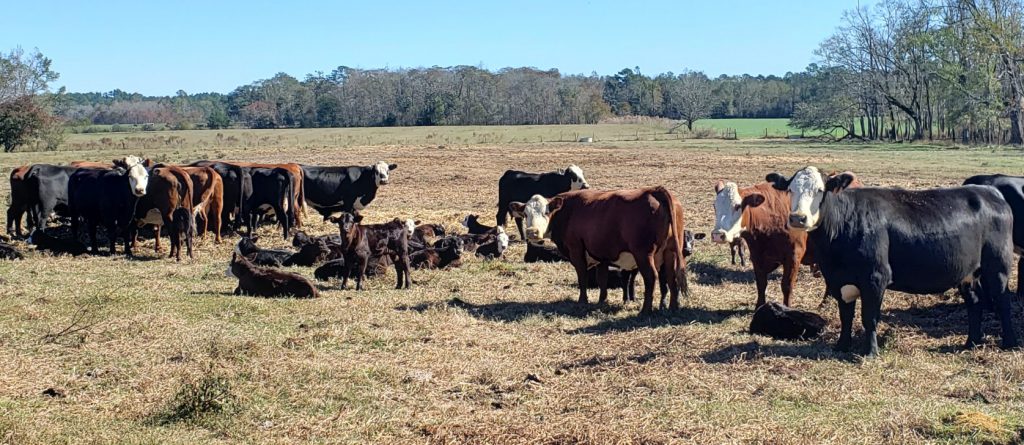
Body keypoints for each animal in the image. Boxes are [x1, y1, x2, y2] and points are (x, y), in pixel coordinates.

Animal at [510, 187, 687, 313]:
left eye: (546, 212)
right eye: (525, 213)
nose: (532, 232)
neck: (567, 211)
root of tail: (654, 190)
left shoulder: (576, 250)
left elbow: (582, 277)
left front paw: (582, 301)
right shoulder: (601, 254)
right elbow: (602, 279)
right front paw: (602, 300)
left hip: (643, 254)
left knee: (651, 277)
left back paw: (645, 311)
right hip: (670, 252)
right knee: (671, 277)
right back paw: (673, 307)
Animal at [767, 166, 1018, 355]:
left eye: (820, 190)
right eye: (790, 190)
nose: (798, 218)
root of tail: (990, 191)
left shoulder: (875, 277)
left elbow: (869, 317)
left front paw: (870, 352)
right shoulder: (839, 280)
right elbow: (846, 315)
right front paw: (842, 346)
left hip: (997, 266)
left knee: (1003, 300)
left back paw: (1009, 343)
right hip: (968, 273)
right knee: (974, 303)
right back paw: (971, 343)